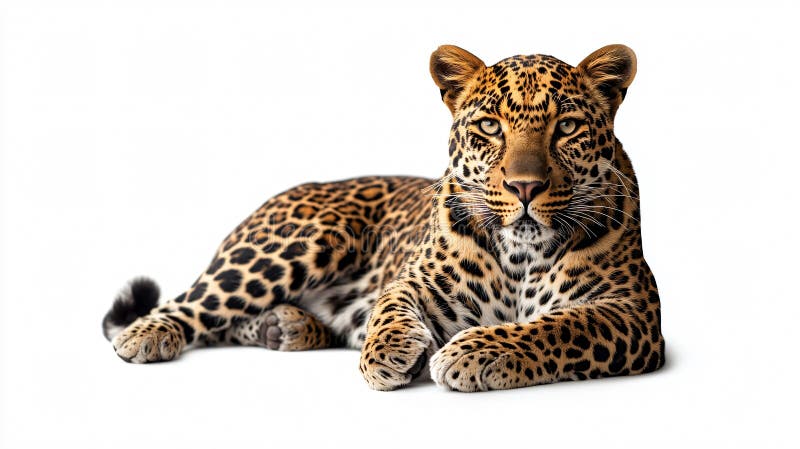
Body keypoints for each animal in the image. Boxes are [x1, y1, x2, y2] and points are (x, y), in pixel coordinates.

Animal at [103, 44, 665, 392]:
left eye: (566, 126)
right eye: (489, 126)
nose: (524, 187)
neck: (521, 252)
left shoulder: (633, 312)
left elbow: (559, 327)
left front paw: (471, 354)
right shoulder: (415, 279)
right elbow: (390, 307)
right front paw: (388, 355)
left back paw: (284, 327)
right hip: (298, 244)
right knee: (196, 303)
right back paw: (149, 335)